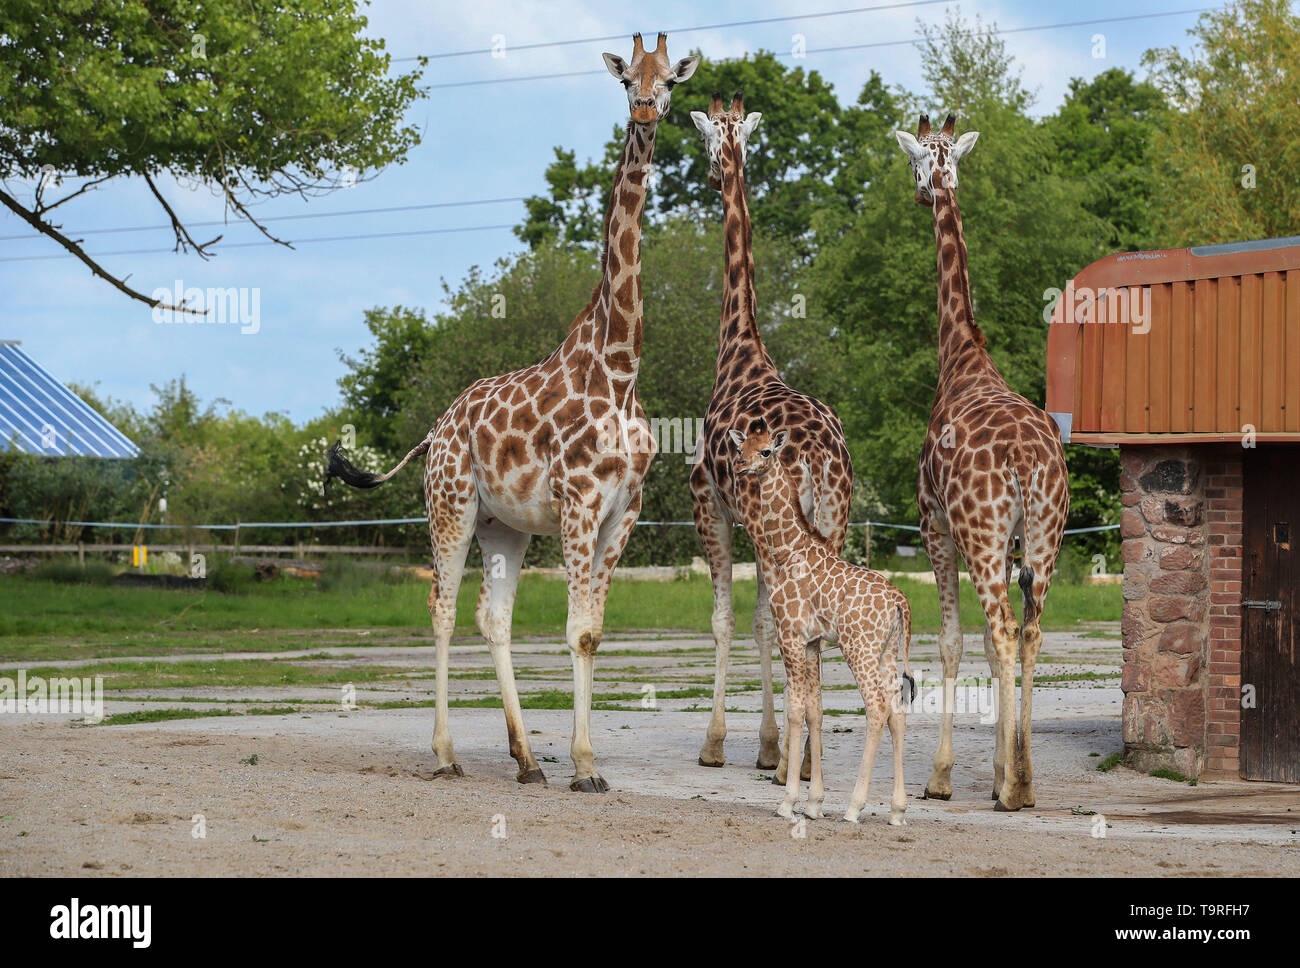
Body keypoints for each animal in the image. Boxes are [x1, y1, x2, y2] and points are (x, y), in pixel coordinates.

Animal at [325, 34, 699, 793]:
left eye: (670, 80)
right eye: (627, 81)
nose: (647, 109)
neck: (620, 369)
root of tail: (434, 430)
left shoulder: (626, 509)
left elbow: (592, 631)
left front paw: (578, 763)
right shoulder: (581, 501)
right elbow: (576, 631)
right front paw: (585, 766)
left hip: (506, 525)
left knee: (491, 617)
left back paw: (526, 761)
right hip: (451, 502)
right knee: (441, 608)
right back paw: (446, 755)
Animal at [730, 421, 914, 824]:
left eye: (766, 451)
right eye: (741, 447)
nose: (741, 467)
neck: (787, 551)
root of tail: (900, 603)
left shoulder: (790, 635)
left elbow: (796, 710)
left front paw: (788, 803)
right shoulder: (813, 642)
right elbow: (816, 711)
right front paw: (814, 803)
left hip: (859, 648)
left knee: (876, 708)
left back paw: (855, 807)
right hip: (887, 652)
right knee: (896, 711)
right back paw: (897, 810)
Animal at [894, 113, 1070, 811]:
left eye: (917, 162)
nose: (921, 193)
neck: (961, 356)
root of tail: (1023, 458)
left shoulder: (934, 524)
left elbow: (950, 642)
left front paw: (943, 777)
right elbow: (1001, 650)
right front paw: (999, 768)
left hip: (982, 532)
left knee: (999, 632)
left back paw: (1011, 788)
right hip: (1046, 535)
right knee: (1030, 635)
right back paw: (1025, 781)